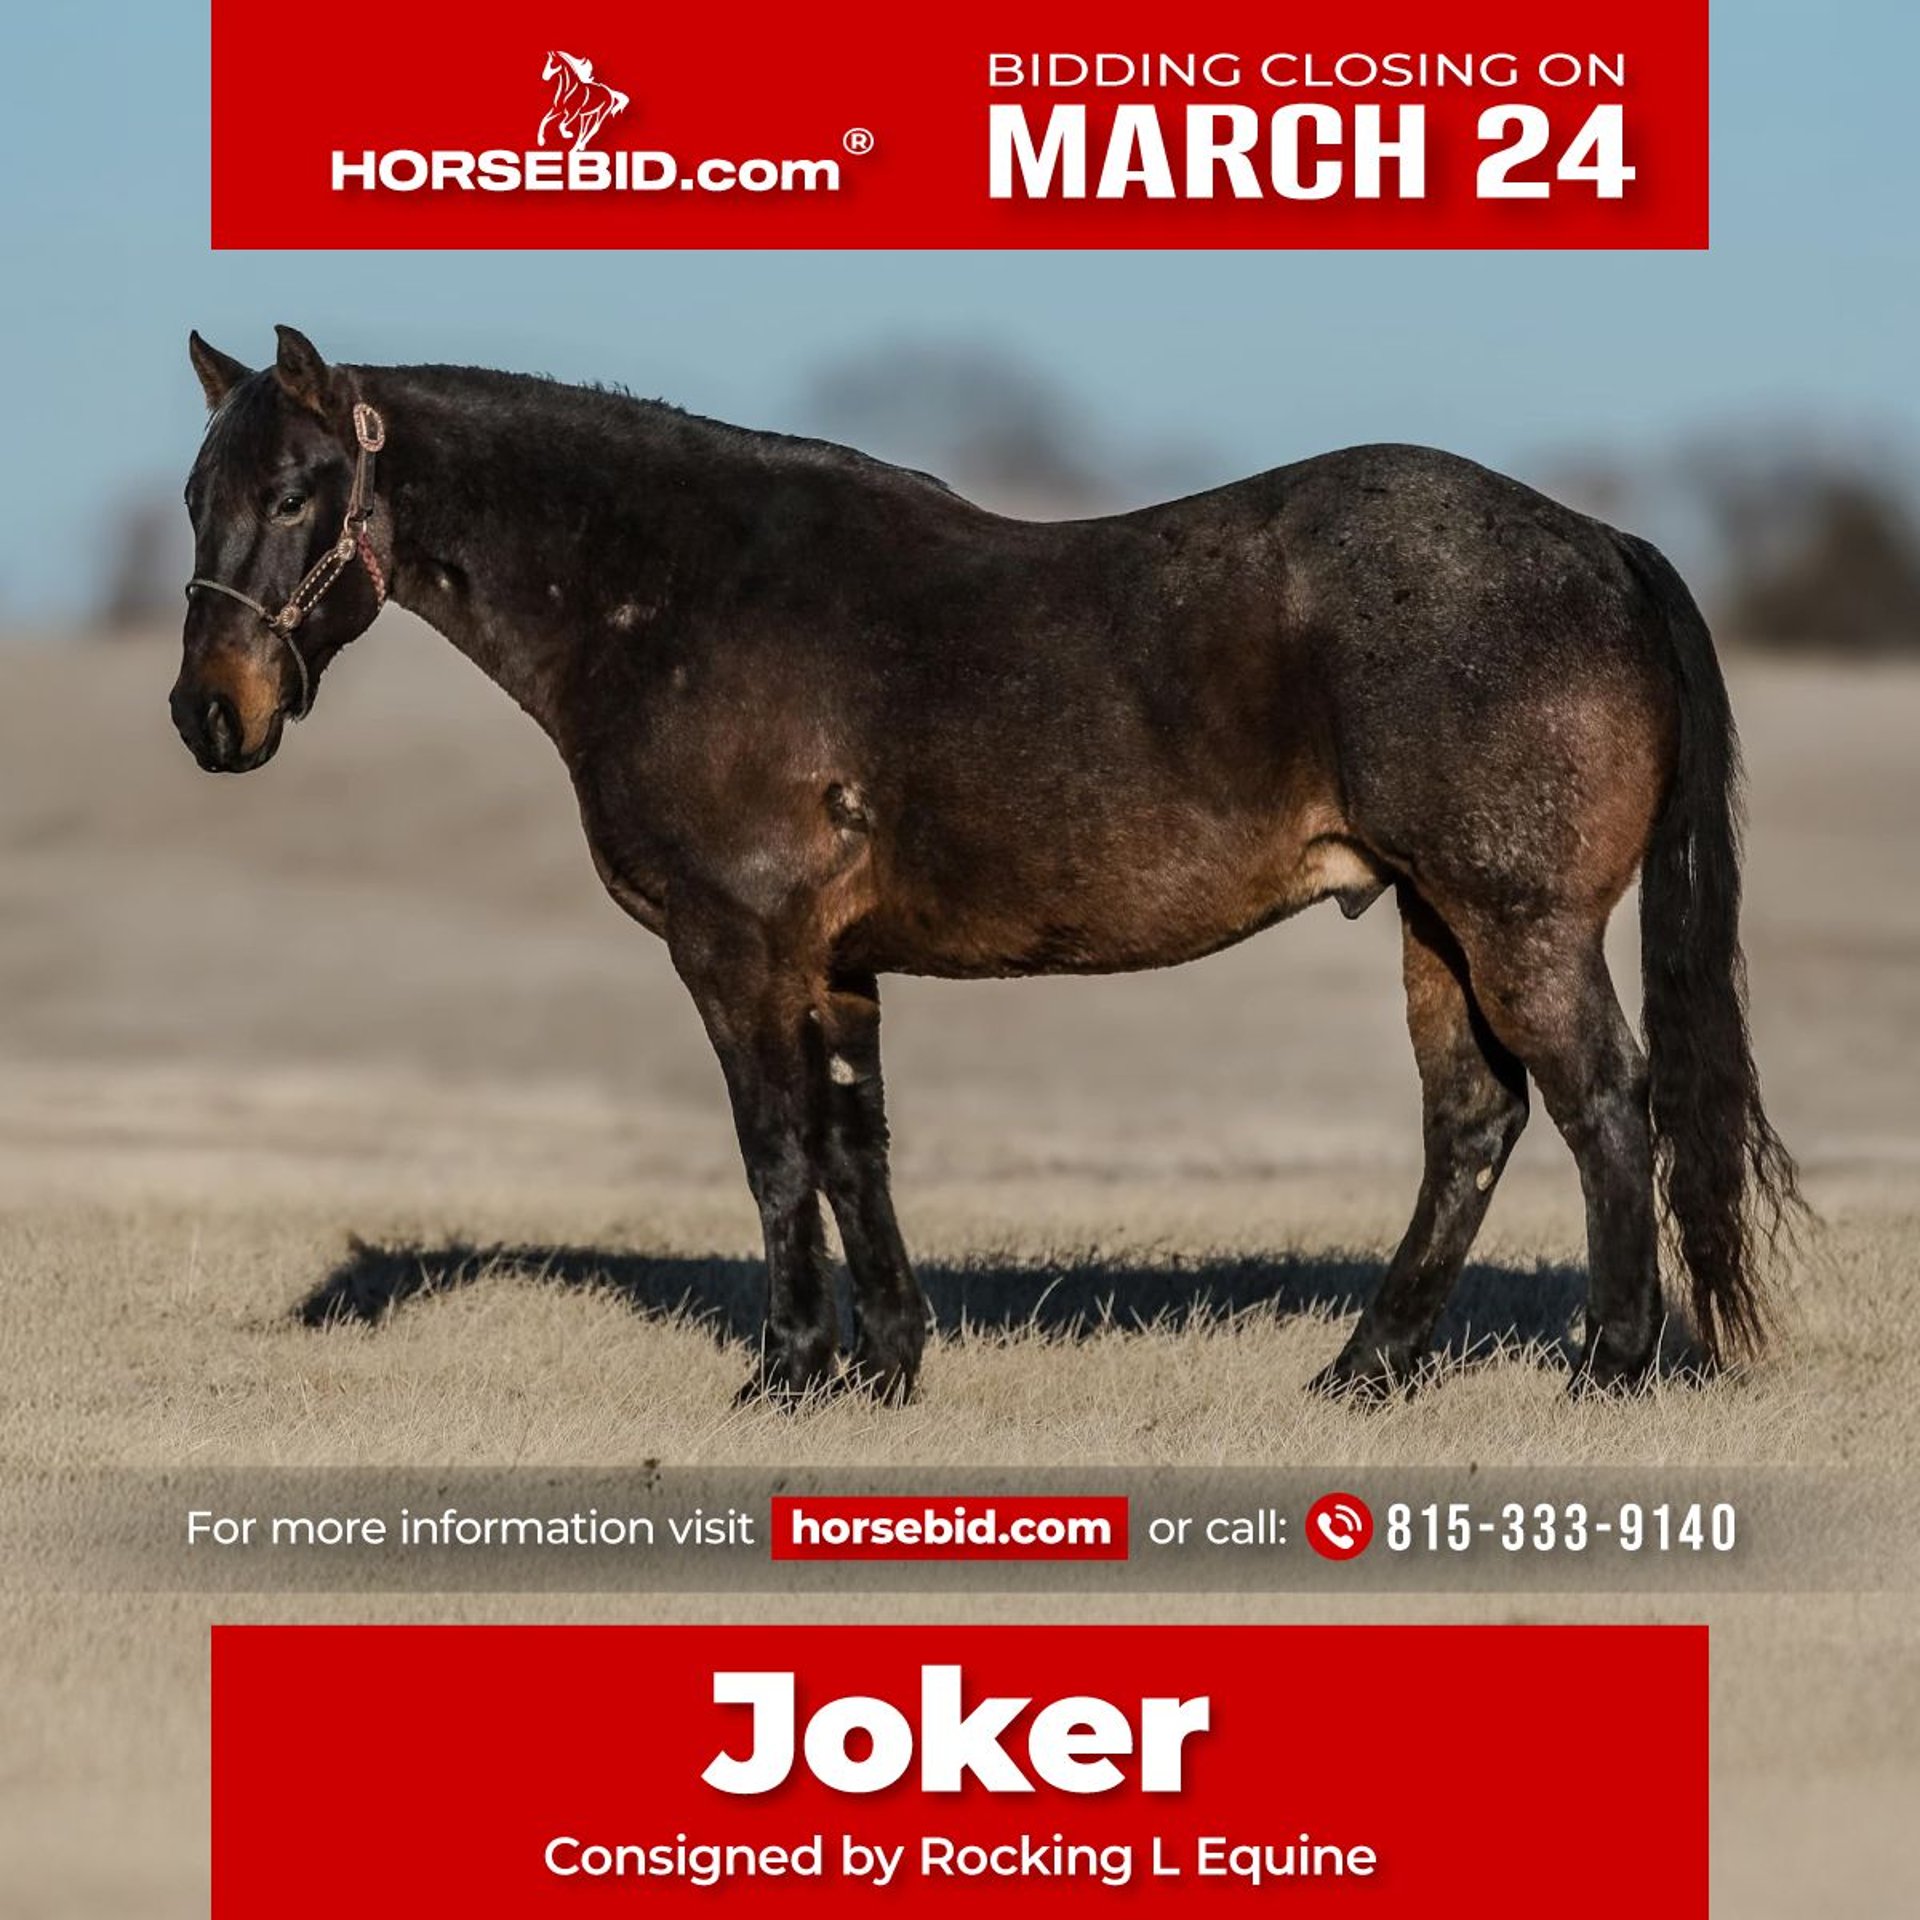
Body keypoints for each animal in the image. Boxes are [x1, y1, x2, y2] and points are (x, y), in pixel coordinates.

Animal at [173, 326, 1802, 1407]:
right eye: (199, 493)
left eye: (302, 490)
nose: (209, 714)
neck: (683, 595)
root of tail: (1597, 544)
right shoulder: (835, 962)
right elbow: (855, 1146)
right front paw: (887, 1366)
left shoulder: (738, 948)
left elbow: (776, 1151)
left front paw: (787, 1371)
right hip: (1435, 921)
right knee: (1474, 1119)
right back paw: (1365, 1371)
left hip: (1517, 919)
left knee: (1605, 1107)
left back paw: (1608, 1367)